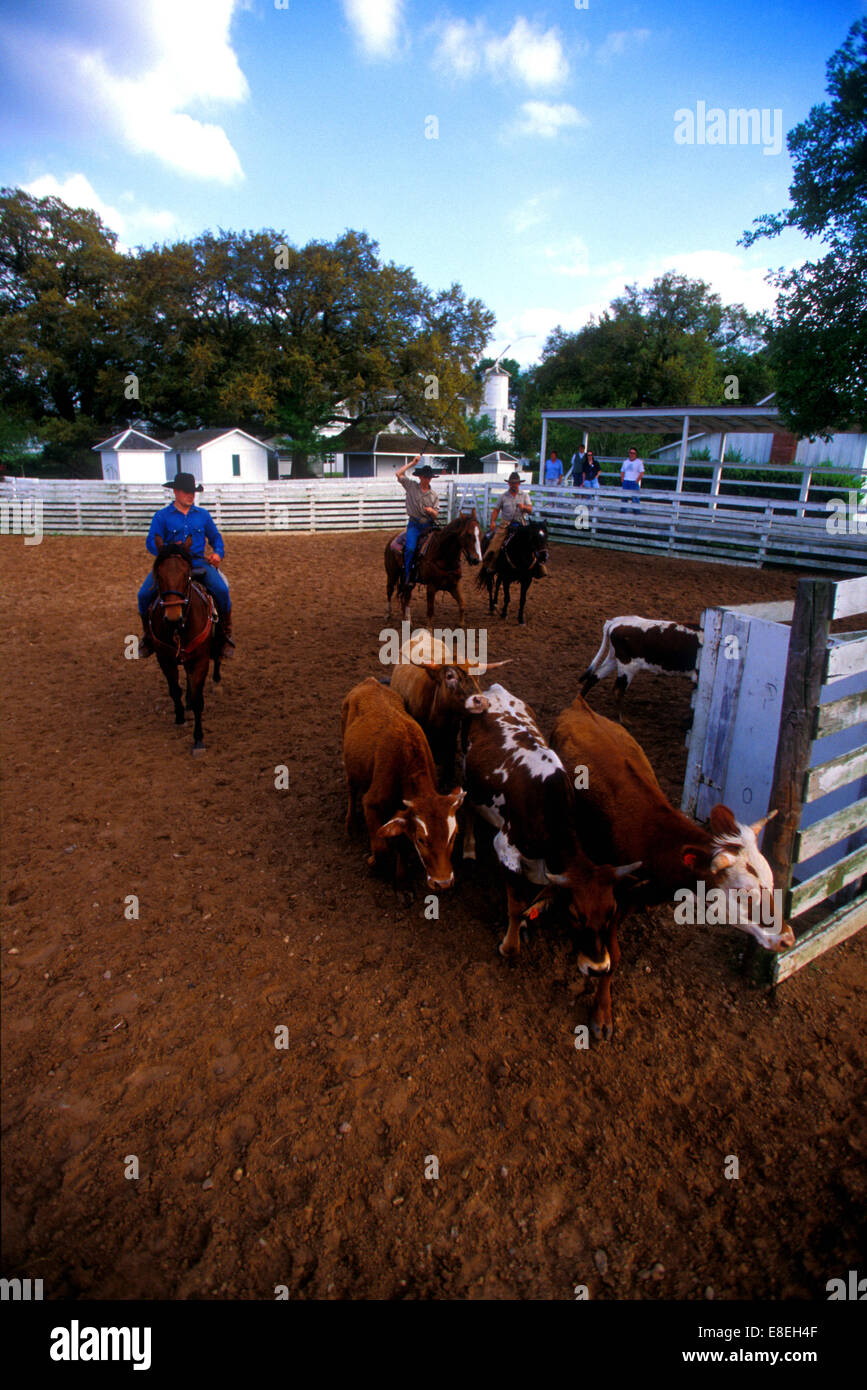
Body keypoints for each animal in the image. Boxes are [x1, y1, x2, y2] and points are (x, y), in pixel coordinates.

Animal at [341, 677, 465, 891]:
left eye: (454, 835)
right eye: (422, 839)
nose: (443, 882)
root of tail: (369, 681)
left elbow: (403, 845)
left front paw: (402, 879)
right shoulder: (371, 804)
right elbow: (381, 847)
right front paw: (374, 862)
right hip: (349, 760)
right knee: (352, 789)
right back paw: (351, 823)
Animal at [462, 683, 641, 1037]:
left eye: (610, 912)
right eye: (574, 915)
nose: (597, 967)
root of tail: (492, 690)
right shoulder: (506, 849)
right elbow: (516, 906)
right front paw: (510, 946)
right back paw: (470, 847)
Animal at [550, 693, 795, 1035]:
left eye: (772, 883)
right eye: (743, 893)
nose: (787, 937)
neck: (654, 841)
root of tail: (579, 704)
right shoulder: (613, 900)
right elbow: (612, 956)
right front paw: (601, 1014)